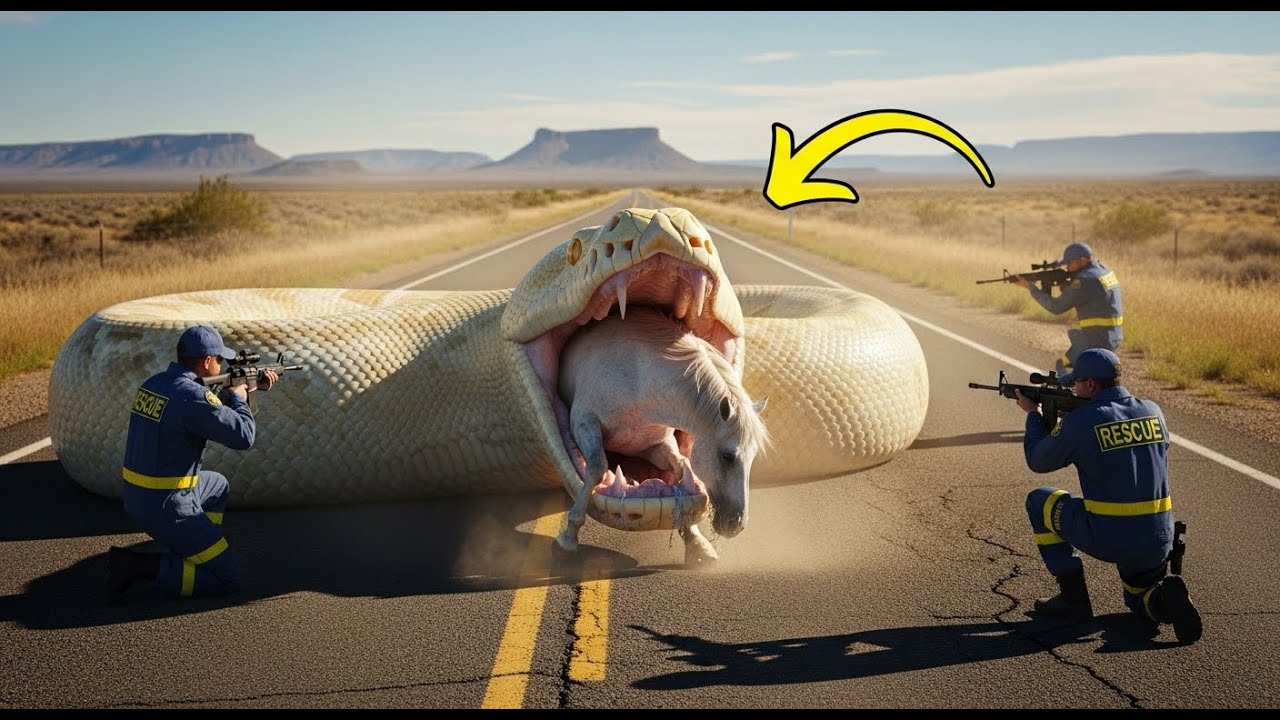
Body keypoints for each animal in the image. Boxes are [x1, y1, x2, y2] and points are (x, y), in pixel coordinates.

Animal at [553, 306, 770, 565]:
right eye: (728, 455)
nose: (735, 524)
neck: (637, 380)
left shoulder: (656, 446)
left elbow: (681, 470)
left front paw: (695, 542)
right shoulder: (584, 424)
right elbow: (596, 468)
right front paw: (569, 535)